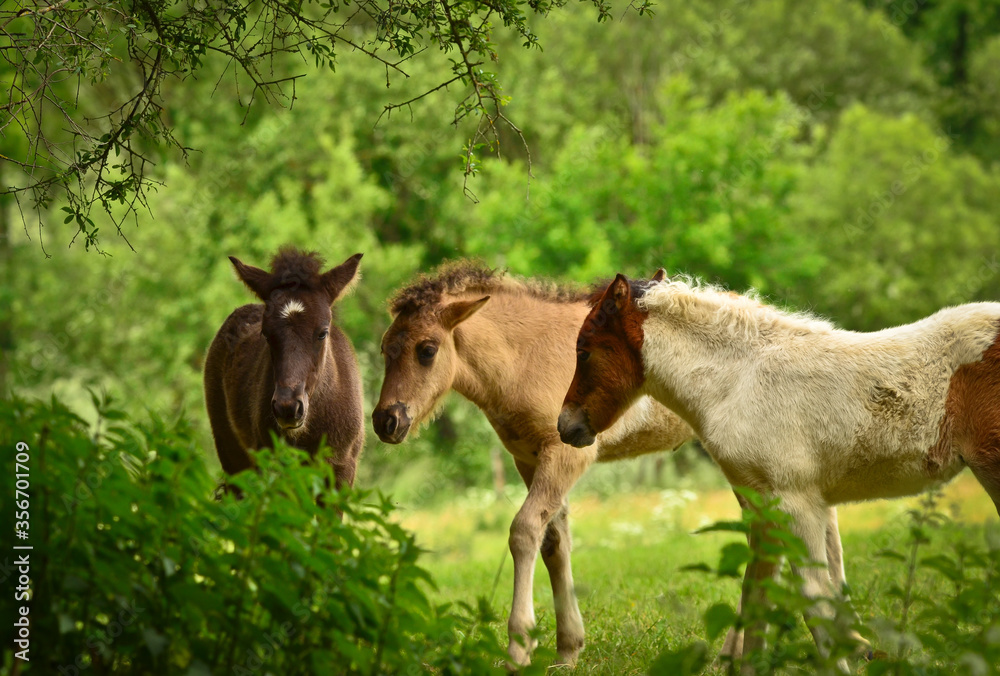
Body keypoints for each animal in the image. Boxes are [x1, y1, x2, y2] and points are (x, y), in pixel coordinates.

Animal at [370, 262, 848, 667]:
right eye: (383, 349)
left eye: (427, 349)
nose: (385, 421)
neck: (524, 357)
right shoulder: (527, 458)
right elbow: (554, 542)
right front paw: (567, 650)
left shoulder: (566, 453)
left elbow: (524, 532)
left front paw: (519, 648)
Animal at [559, 273, 1000, 669]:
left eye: (585, 351)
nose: (566, 426)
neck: (739, 381)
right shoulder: (762, 508)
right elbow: (757, 600)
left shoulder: (797, 503)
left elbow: (815, 603)